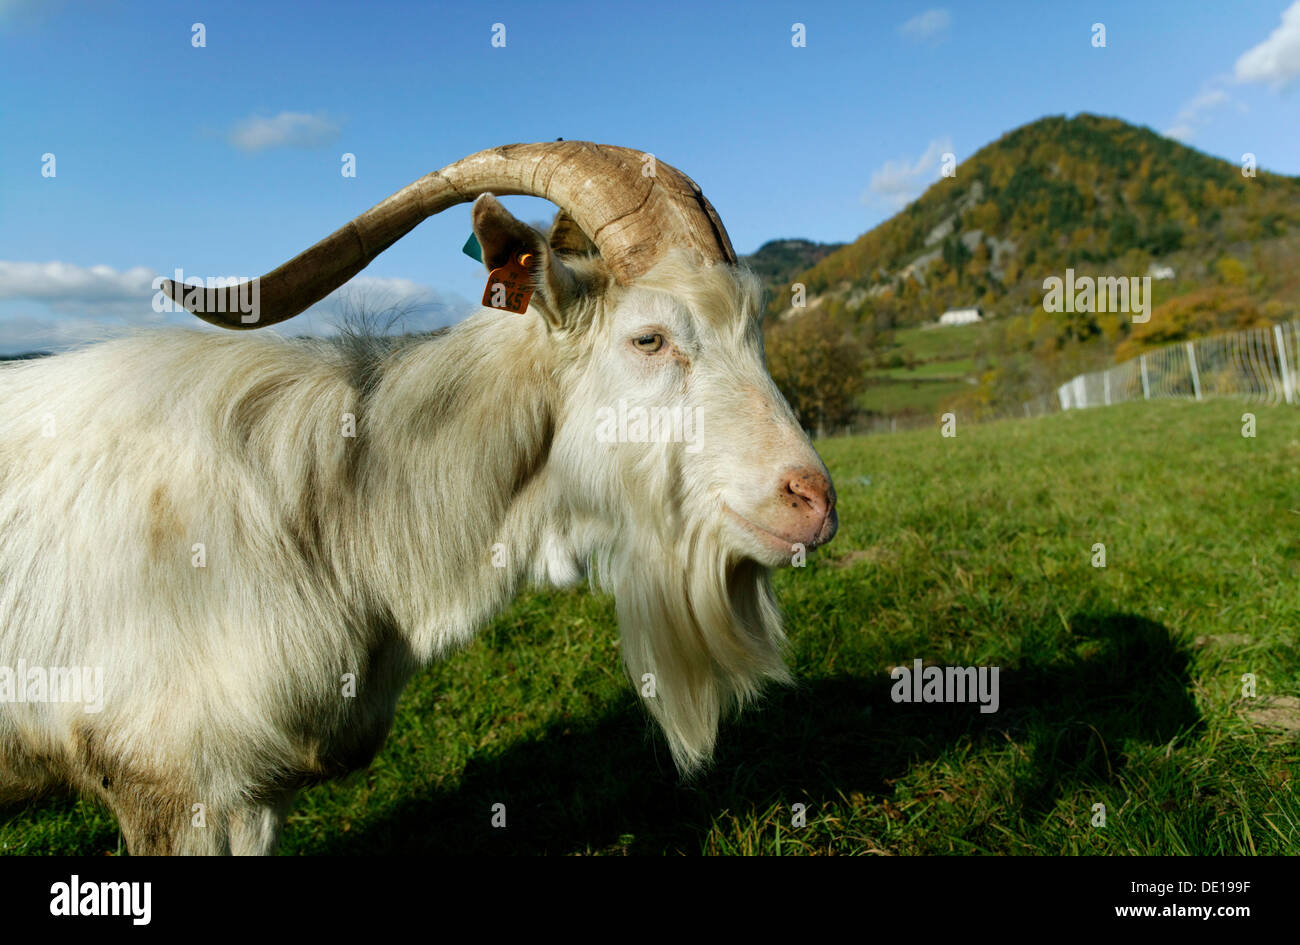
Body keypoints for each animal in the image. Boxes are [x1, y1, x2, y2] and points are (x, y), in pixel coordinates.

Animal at [0, 142, 837, 854]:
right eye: (649, 338)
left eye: (756, 333)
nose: (813, 501)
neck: (326, 511)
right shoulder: (169, 783)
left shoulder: (252, 793)